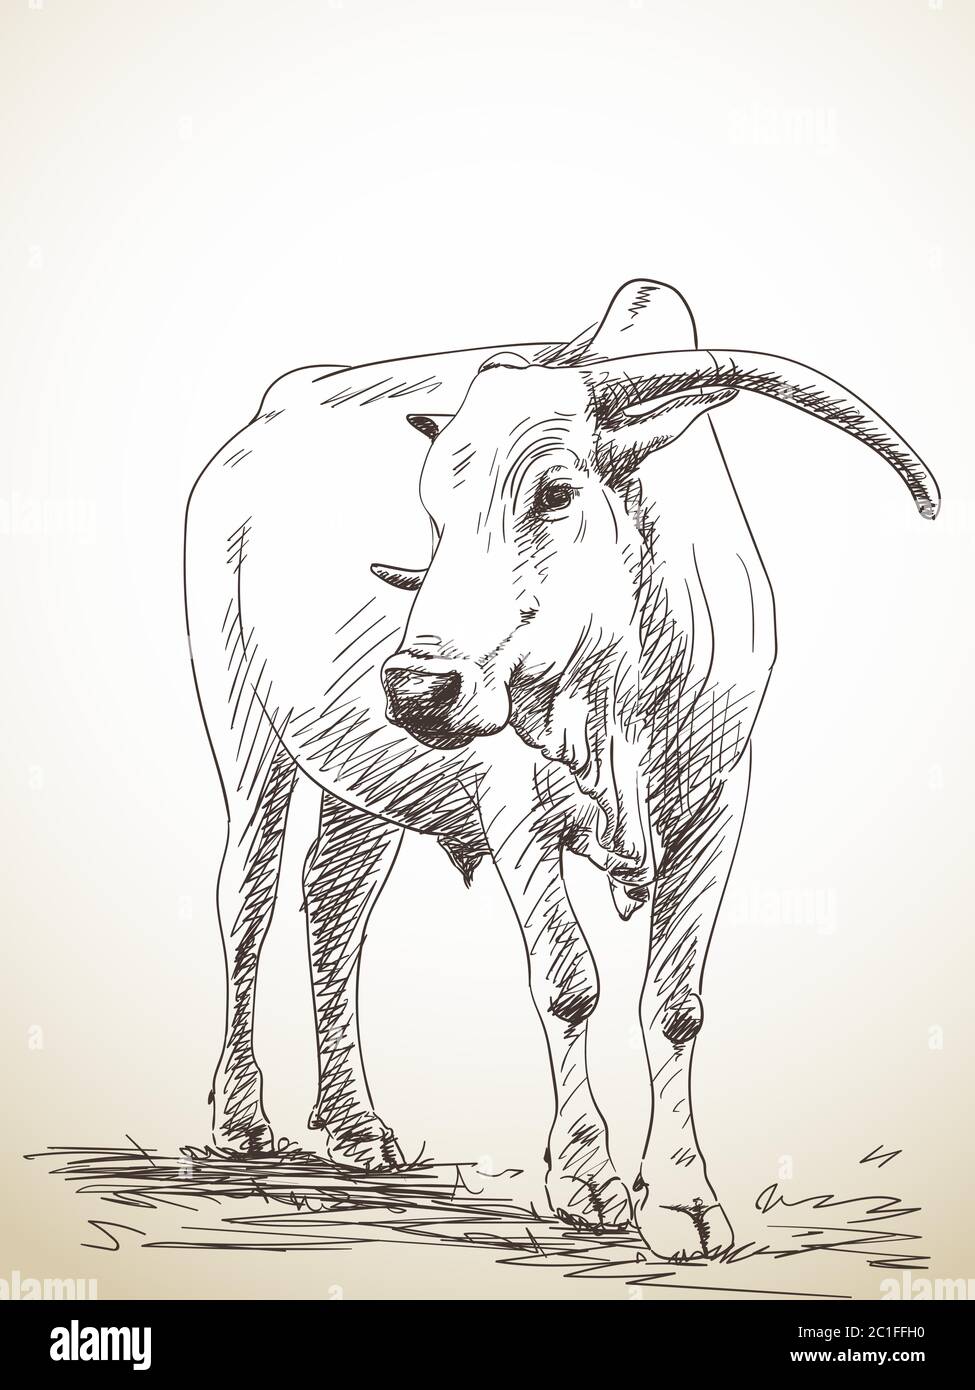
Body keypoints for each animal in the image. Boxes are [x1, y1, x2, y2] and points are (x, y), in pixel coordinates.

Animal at [184, 280, 938, 1260]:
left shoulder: (713, 809)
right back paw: (240, 1120)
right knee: (246, 903)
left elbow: (674, 1004)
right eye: (433, 508)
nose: (417, 684)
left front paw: (683, 1200)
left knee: (333, 907)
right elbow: (570, 986)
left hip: (363, 775)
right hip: (247, 733)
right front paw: (585, 1182)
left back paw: (354, 1128)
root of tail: (274, 406)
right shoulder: (517, 818)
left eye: (554, 490)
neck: (618, 689)